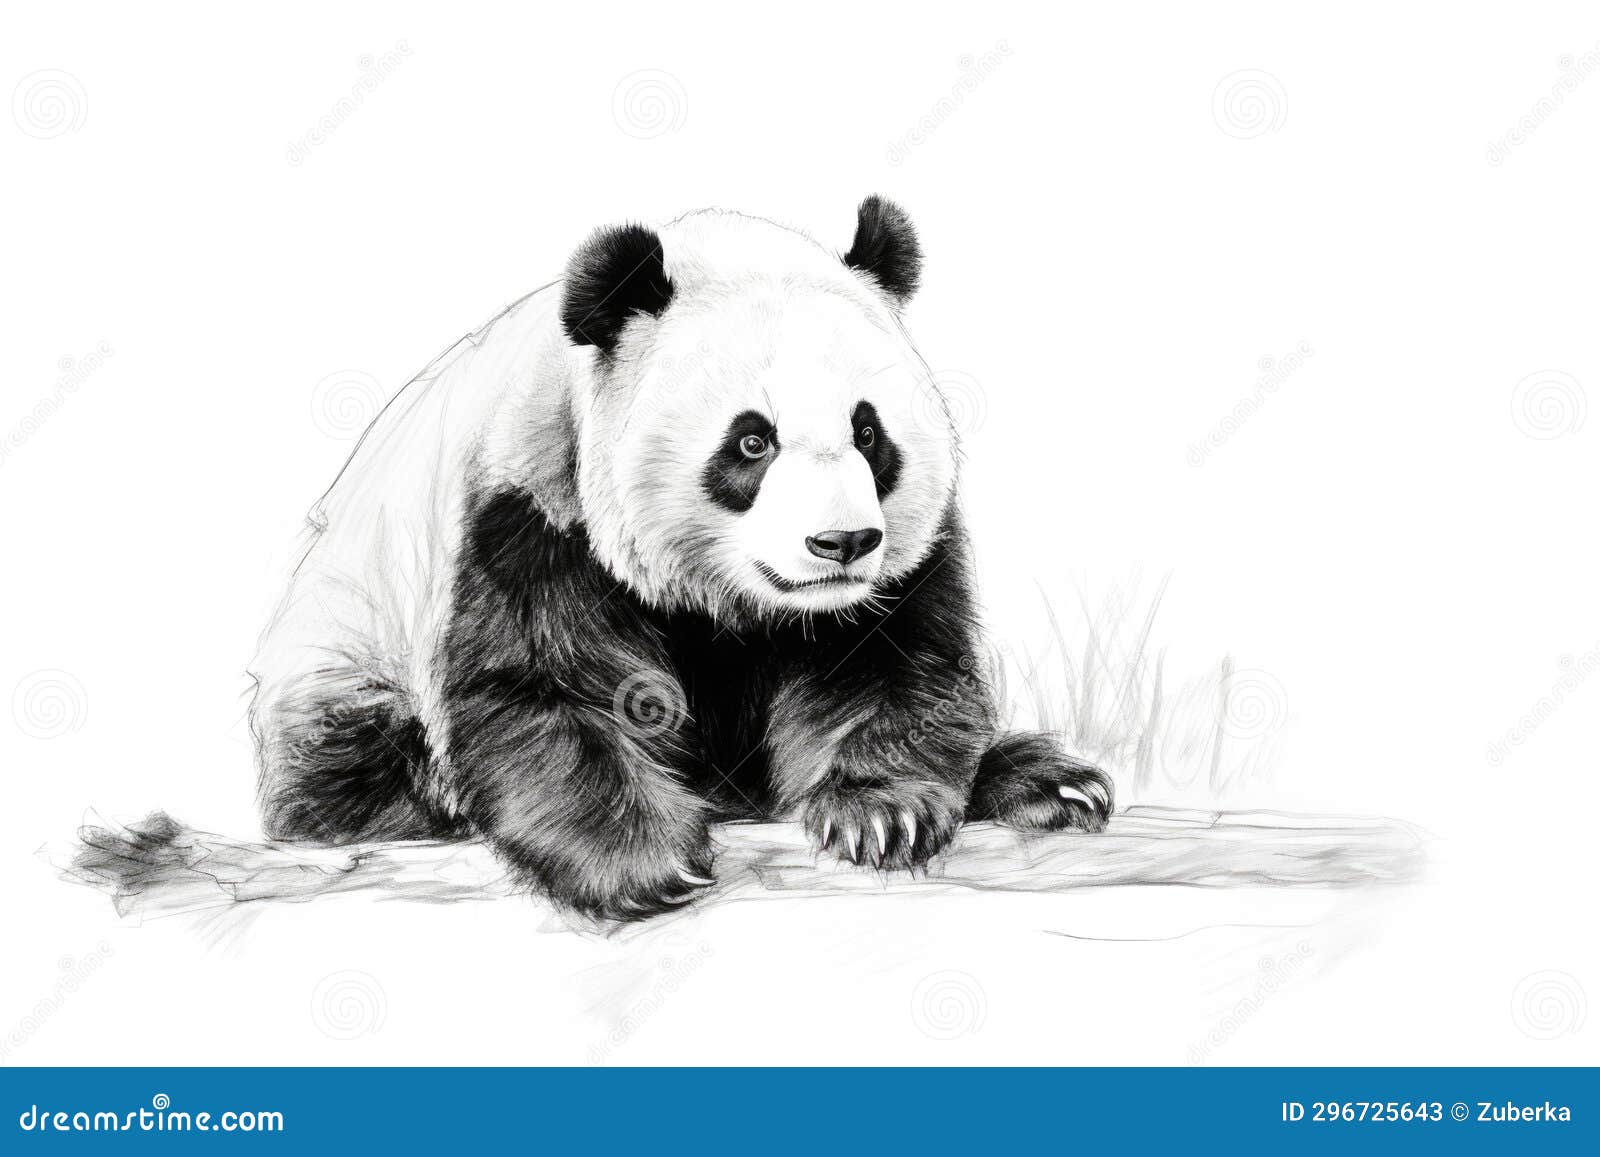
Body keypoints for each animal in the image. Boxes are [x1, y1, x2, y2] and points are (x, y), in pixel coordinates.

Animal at [249, 197, 1113, 920]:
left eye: (870, 432)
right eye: (752, 440)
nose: (841, 544)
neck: (725, 599)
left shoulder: (897, 571)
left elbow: (894, 661)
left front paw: (880, 812)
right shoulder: (531, 510)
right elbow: (544, 689)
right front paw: (640, 859)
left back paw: (1048, 781)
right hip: (344, 669)